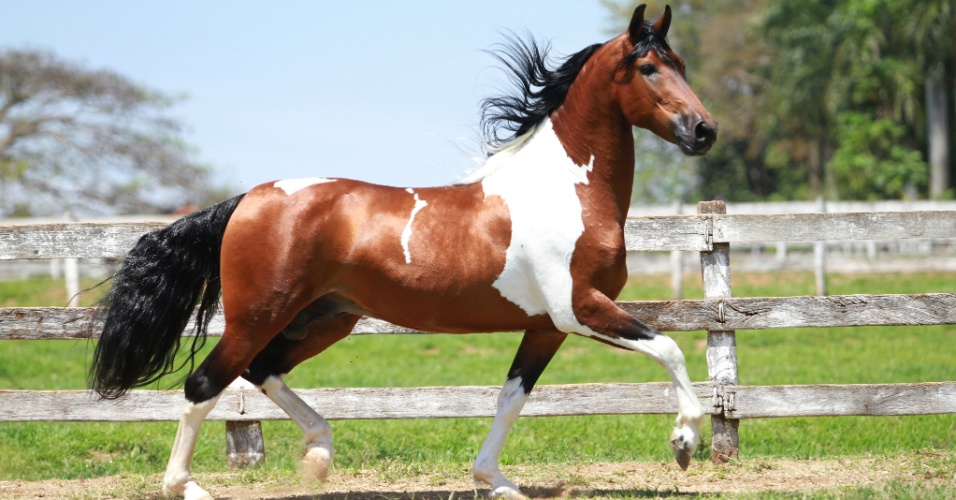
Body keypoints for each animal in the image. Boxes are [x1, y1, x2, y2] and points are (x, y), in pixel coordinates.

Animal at [89, 5, 717, 499]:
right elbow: (670, 349)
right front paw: (684, 441)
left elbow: (511, 397)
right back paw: (189, 486)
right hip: (258, 316)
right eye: (648, 67)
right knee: (204, 385)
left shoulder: (545, 326)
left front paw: (495, 481)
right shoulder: (579, 309)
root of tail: (249, 198)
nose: (704, 131)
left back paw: (319, 454)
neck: (566, 189)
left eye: (683, 65)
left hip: (322, 319)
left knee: (261, 372)